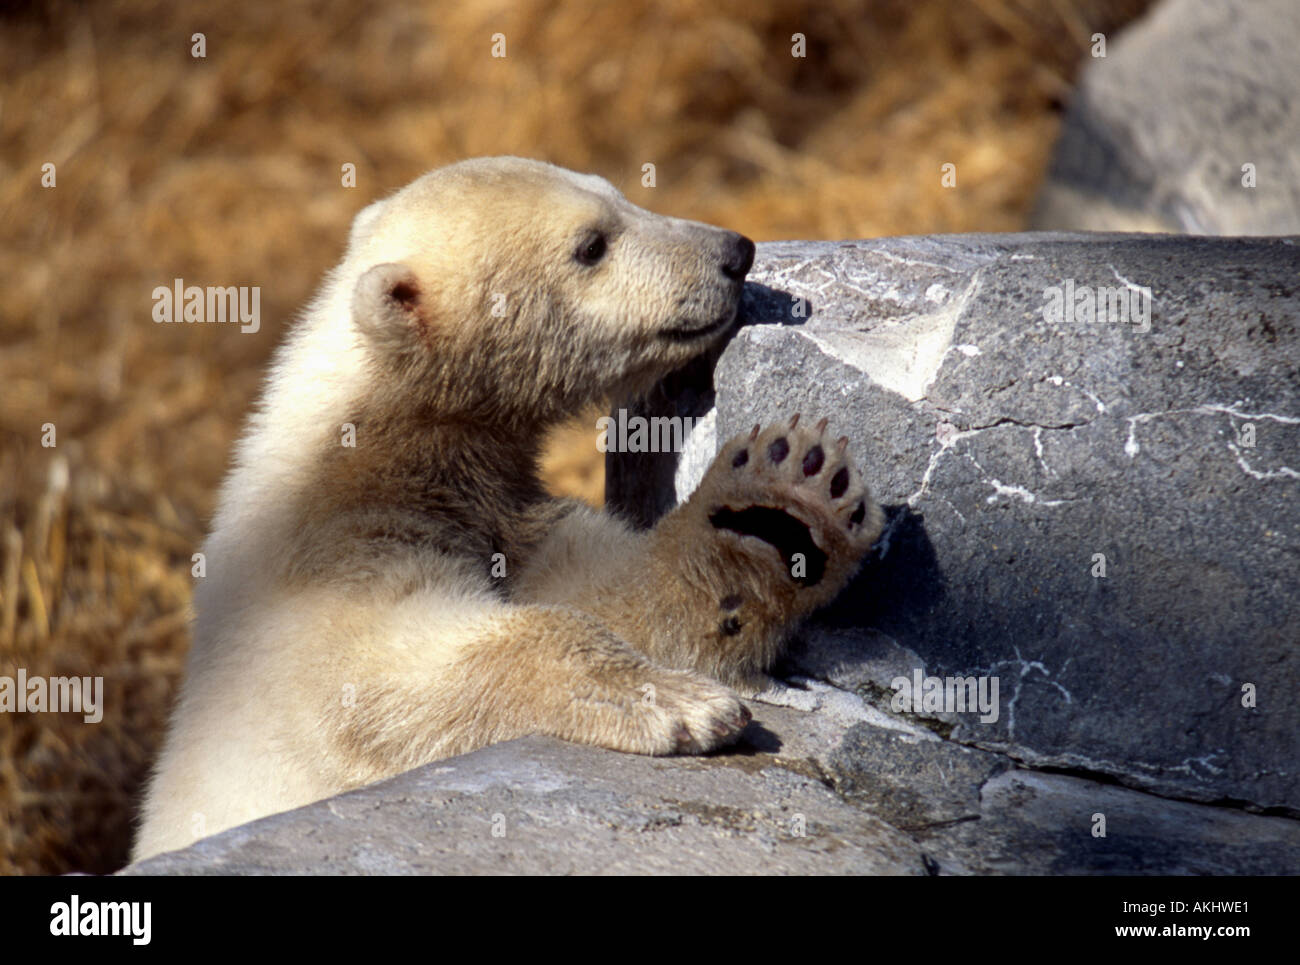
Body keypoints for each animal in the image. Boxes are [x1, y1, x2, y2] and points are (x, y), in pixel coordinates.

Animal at [132, 157, 884, 861]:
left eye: (618, 194)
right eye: (591, 245)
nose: (734, 251)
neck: (364, 442)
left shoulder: (500, 511)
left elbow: (611, 587)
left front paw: (784, 500)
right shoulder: (318, 579)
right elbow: (387, 671)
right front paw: (680, 704)